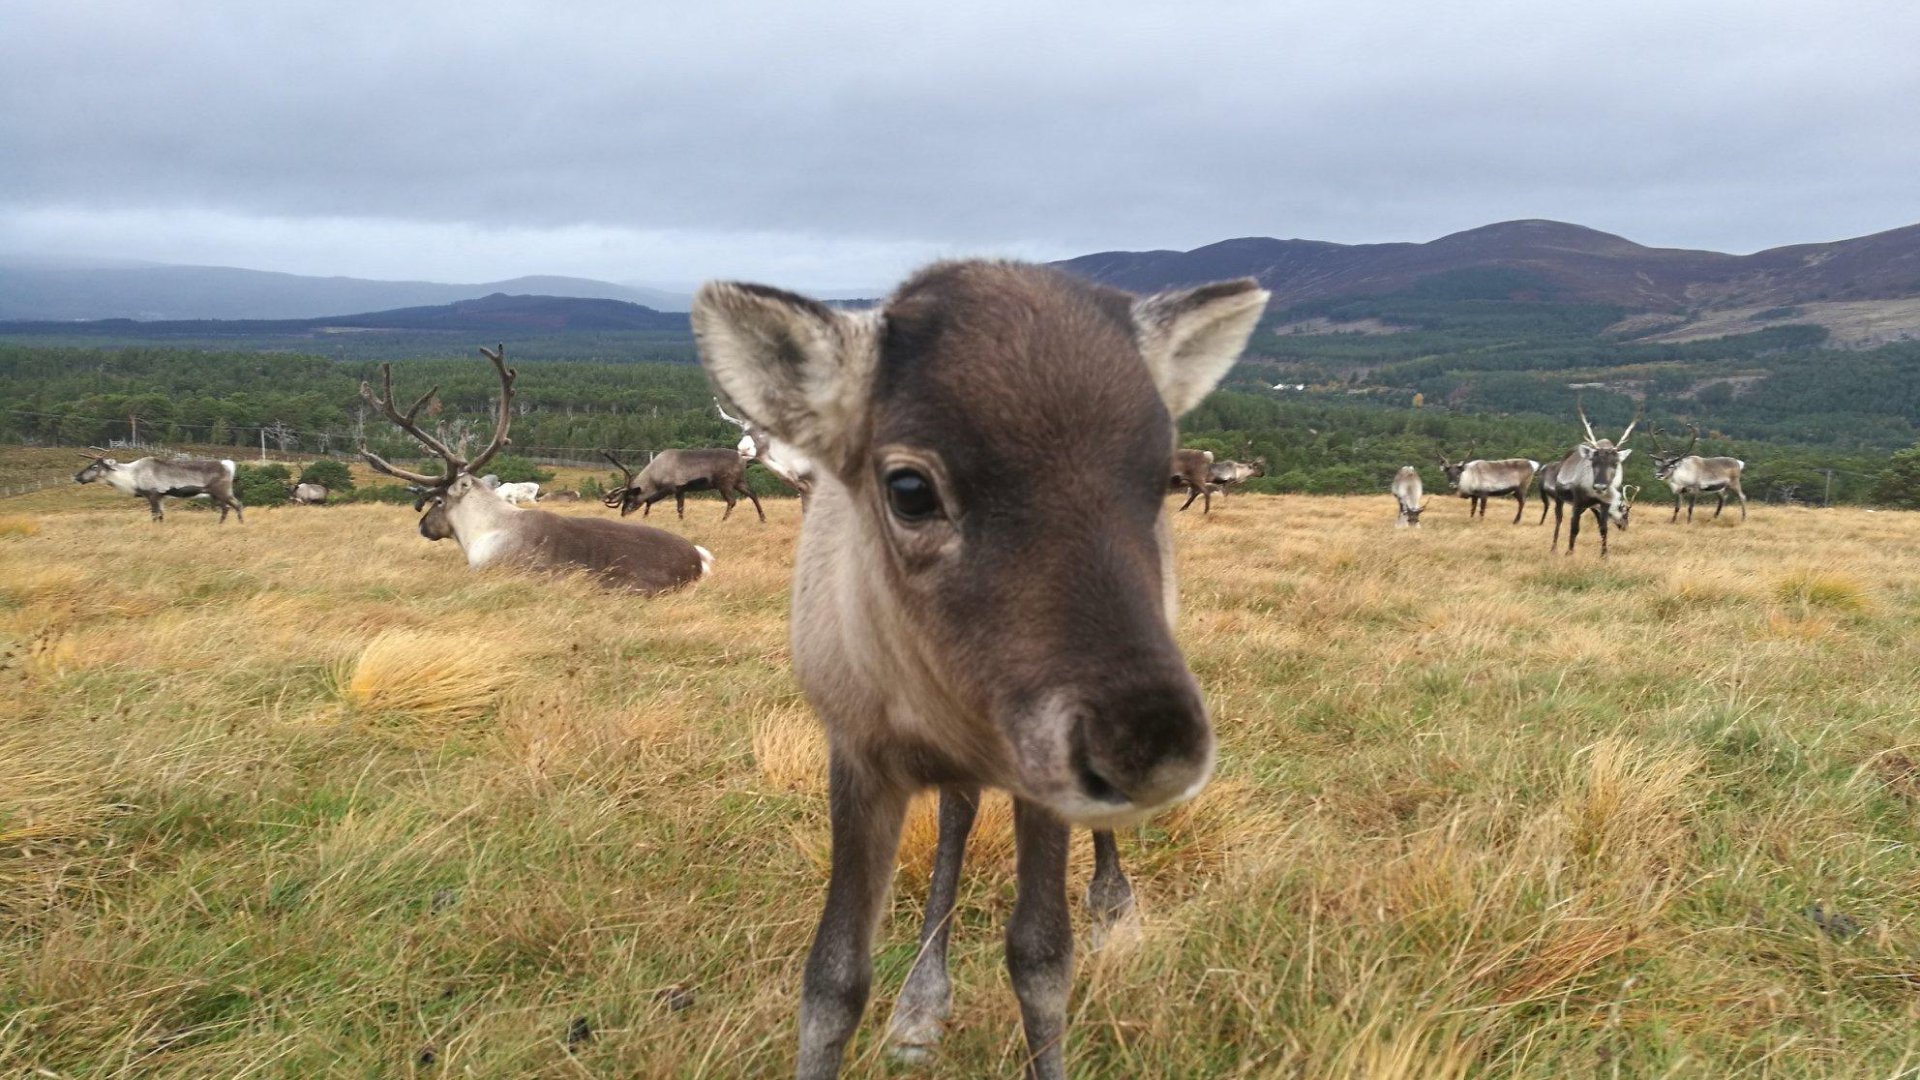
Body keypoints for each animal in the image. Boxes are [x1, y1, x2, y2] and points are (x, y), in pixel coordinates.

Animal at [73, 451, 244, 523]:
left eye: (94, 466)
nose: (76, 476)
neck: (132, 476)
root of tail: (229, 465)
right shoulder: (161, 497)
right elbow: (161, 515)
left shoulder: (153, 494)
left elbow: (155, 515)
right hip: (215, 494)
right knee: (226, 508)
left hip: (222, 491)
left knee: (237, 505)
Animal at [600, 446, 766, 522]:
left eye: (629, 497)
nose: (623, 514)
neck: (655, 473)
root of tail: (744, 460)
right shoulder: (680, 490)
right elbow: (661, 503)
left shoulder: (672, 488)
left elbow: (659, 503)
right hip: (739, 482)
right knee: (753, 494)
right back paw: (762, 518)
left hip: (725, 484)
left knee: (732, 500)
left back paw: (723, 519)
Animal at [693, 260, 1267, 1080]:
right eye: (909, 488)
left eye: (1161, 475)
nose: (1153, 749)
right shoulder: (858, 755)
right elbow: (832, 979)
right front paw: (903, 1004)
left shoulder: (1043, 779)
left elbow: (1040, 957)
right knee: (958, 816)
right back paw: (920, 1002)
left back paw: (1112, 904)